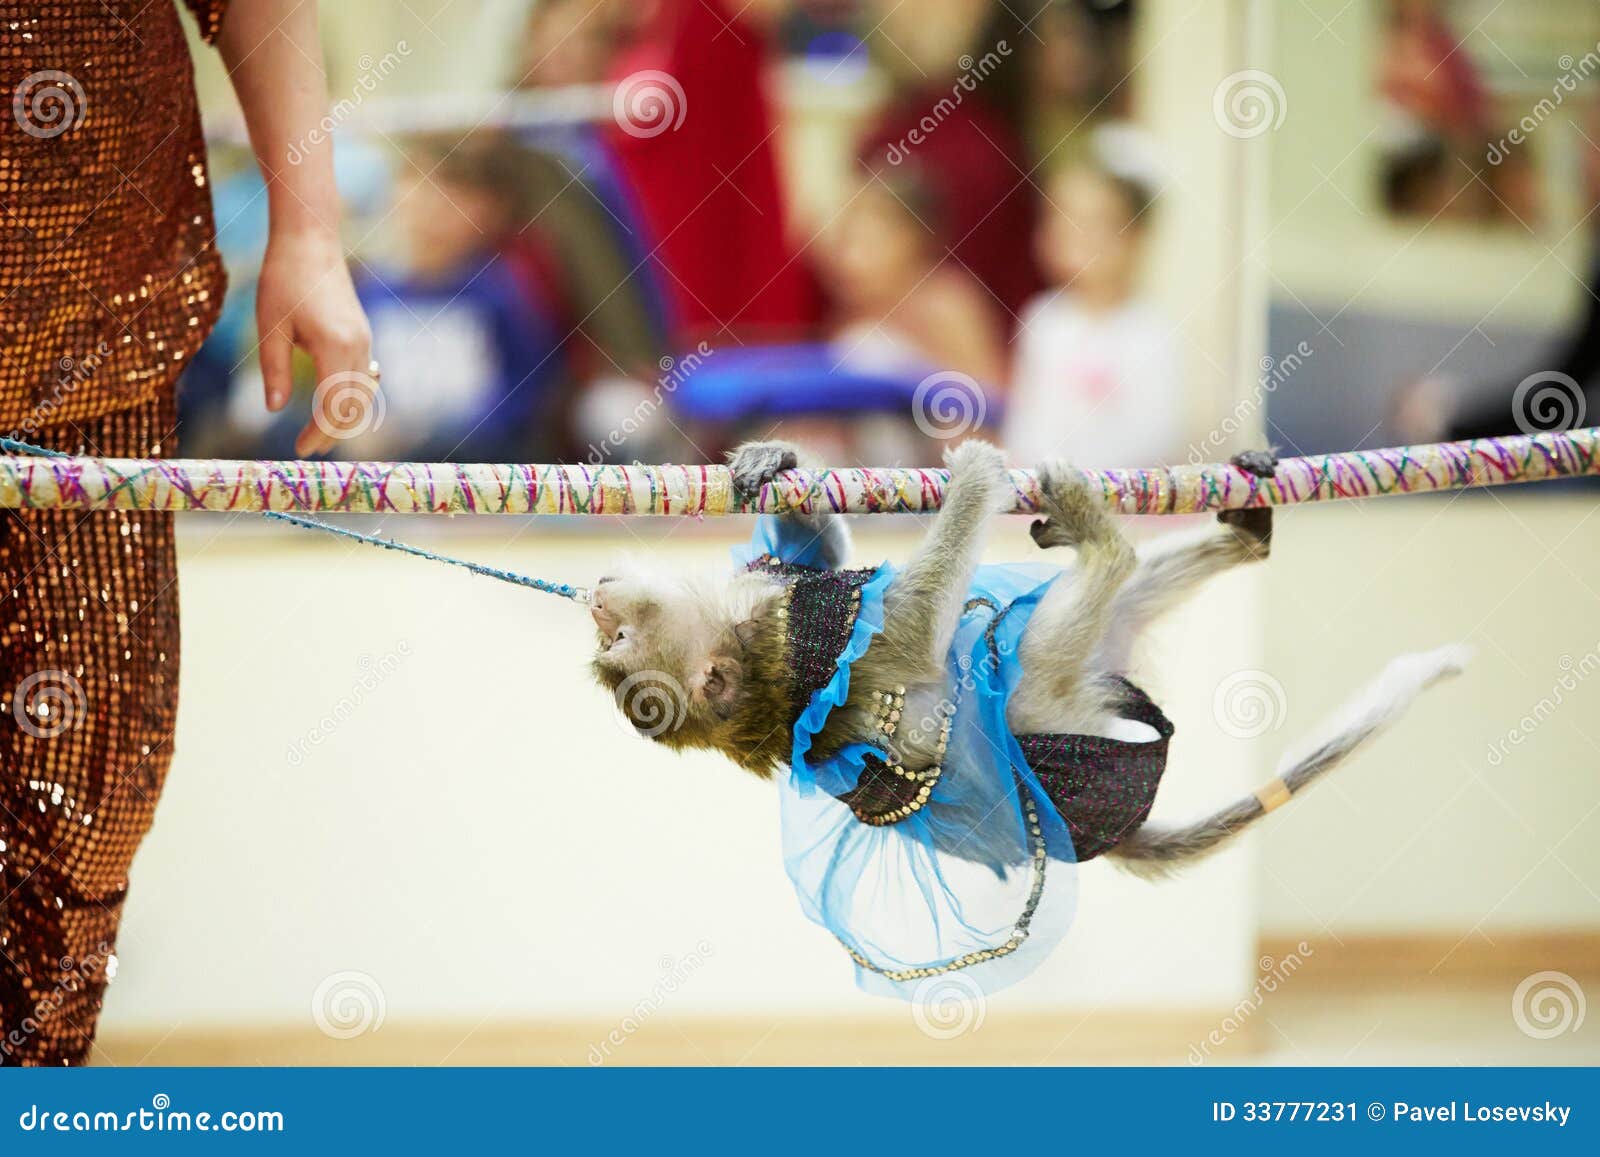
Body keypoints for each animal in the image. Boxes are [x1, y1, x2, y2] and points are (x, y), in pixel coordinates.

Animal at [589, 438, 1467, 982]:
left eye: (616, 639)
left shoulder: (788, 611)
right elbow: (913, 632)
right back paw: (1104, 542)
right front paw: (978, 477)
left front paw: (777, 462)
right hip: (1056, 704)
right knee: (1035, 640)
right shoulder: (823, 662)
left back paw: (1244, 532)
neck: (749, 644)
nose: (598, 602)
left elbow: (829, 563)